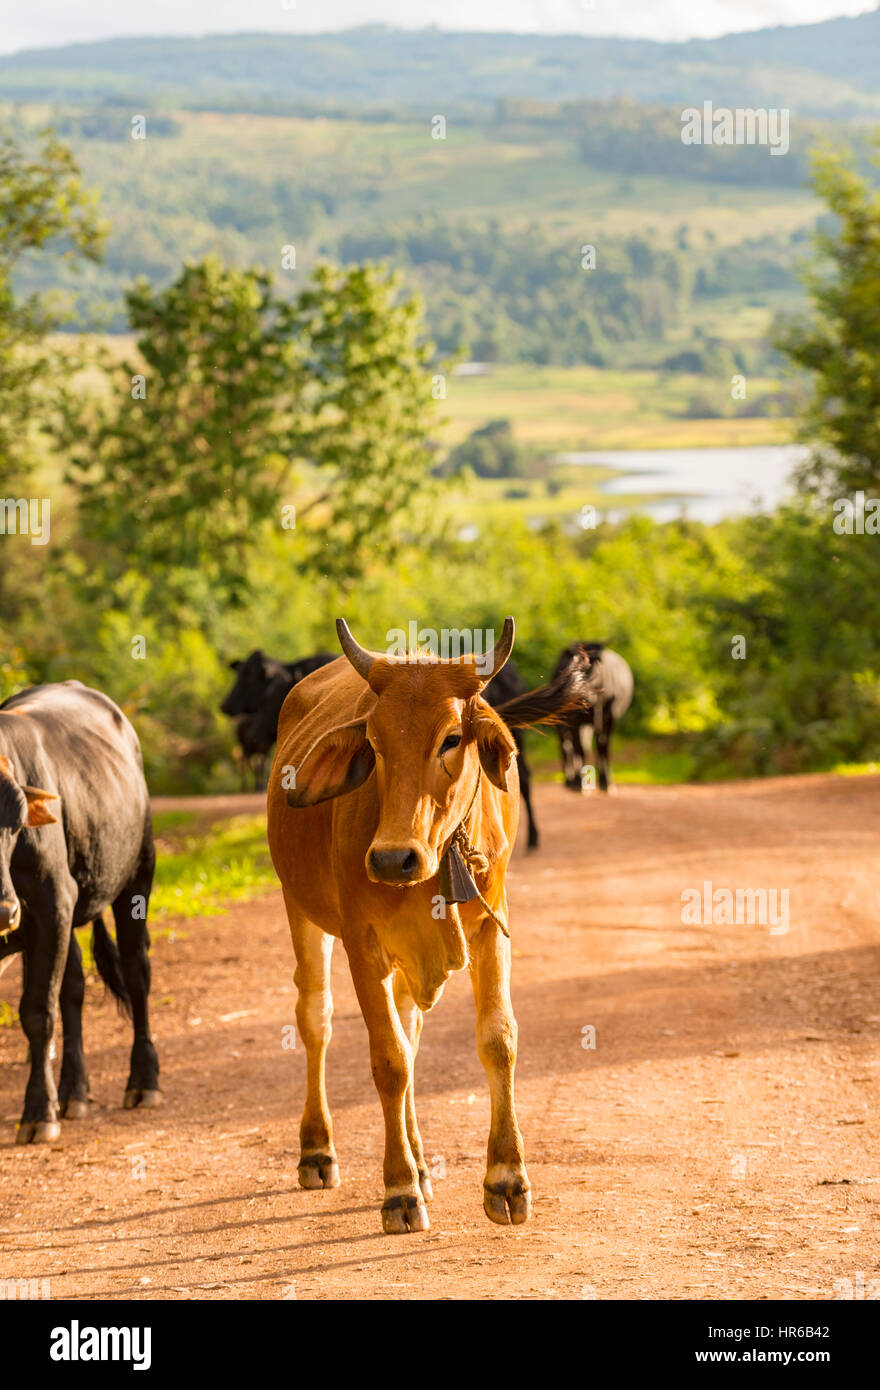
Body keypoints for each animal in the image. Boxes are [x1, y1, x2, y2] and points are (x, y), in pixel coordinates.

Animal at [0, 681, 159, 1143]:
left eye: (17, 822)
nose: (5, 910)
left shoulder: (52, 901)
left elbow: (38, 1013)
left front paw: (38, 1113)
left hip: (137, 877)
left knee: (137, 973)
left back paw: (143, 1082)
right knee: (73, 988)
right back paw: (74, 1092)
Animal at [266, 617, 594, 1234]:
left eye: (451, 738)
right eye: (373, 743)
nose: (393, 859)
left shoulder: (493, 927)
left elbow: (497, 1040)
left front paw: (506, 1178)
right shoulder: (362, 945)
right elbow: (388, 1061)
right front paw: (398, 1191)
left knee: (410, 1030)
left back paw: (420, 1164)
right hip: (300, 910)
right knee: (316, 1019)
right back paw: (320, 1149)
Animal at [554, 643, 633, 793]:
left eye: (596, 670)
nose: (585, 697)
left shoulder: (610, 718)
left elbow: (603, 748)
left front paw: (606, 782)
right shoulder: (573, 720)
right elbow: (578, 749)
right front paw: (578, 783)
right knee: (566, 747)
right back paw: (569, 781)